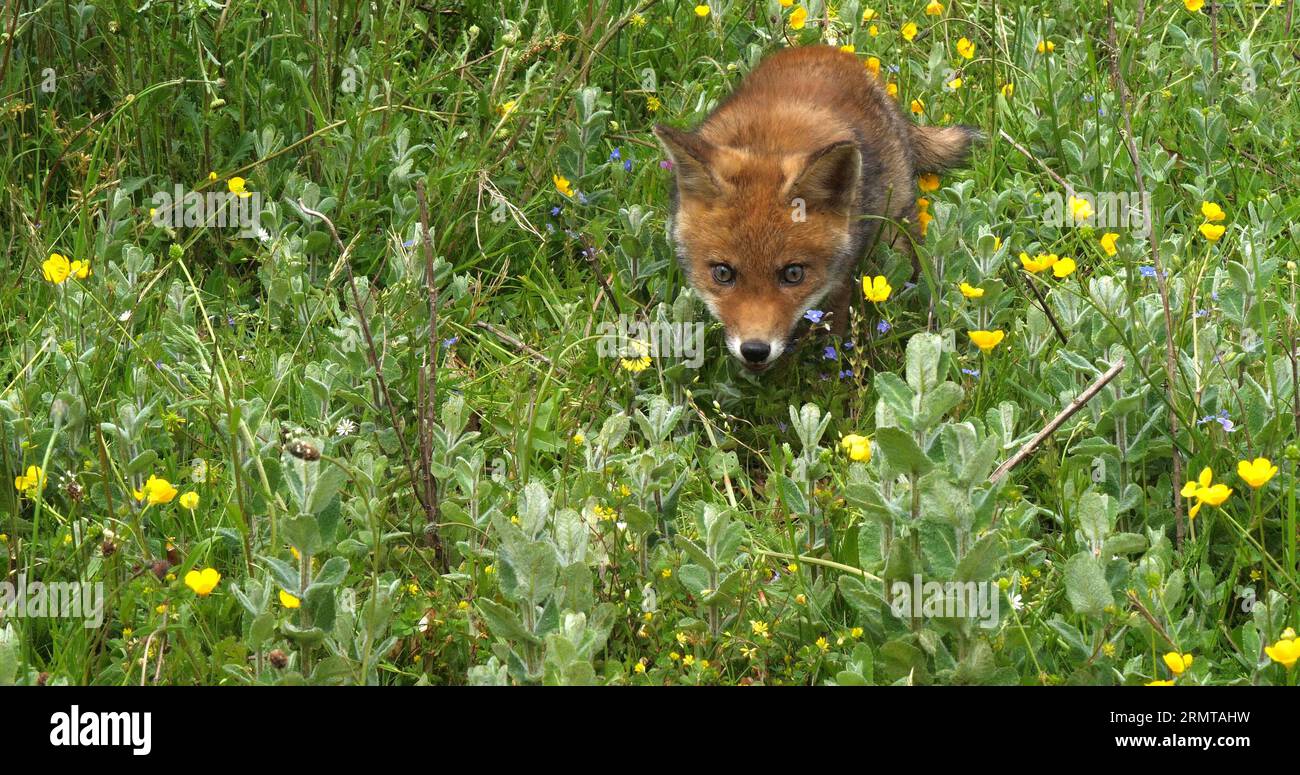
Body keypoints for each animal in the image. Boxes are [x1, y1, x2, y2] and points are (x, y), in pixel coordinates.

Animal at [654, 45, 978, 371]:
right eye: (723, 273)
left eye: (793, 274)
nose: (755, 350)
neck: (770, 143)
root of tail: (832, 51)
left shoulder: (840, 278)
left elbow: (832, 334)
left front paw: (829, 369)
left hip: (895, 223)